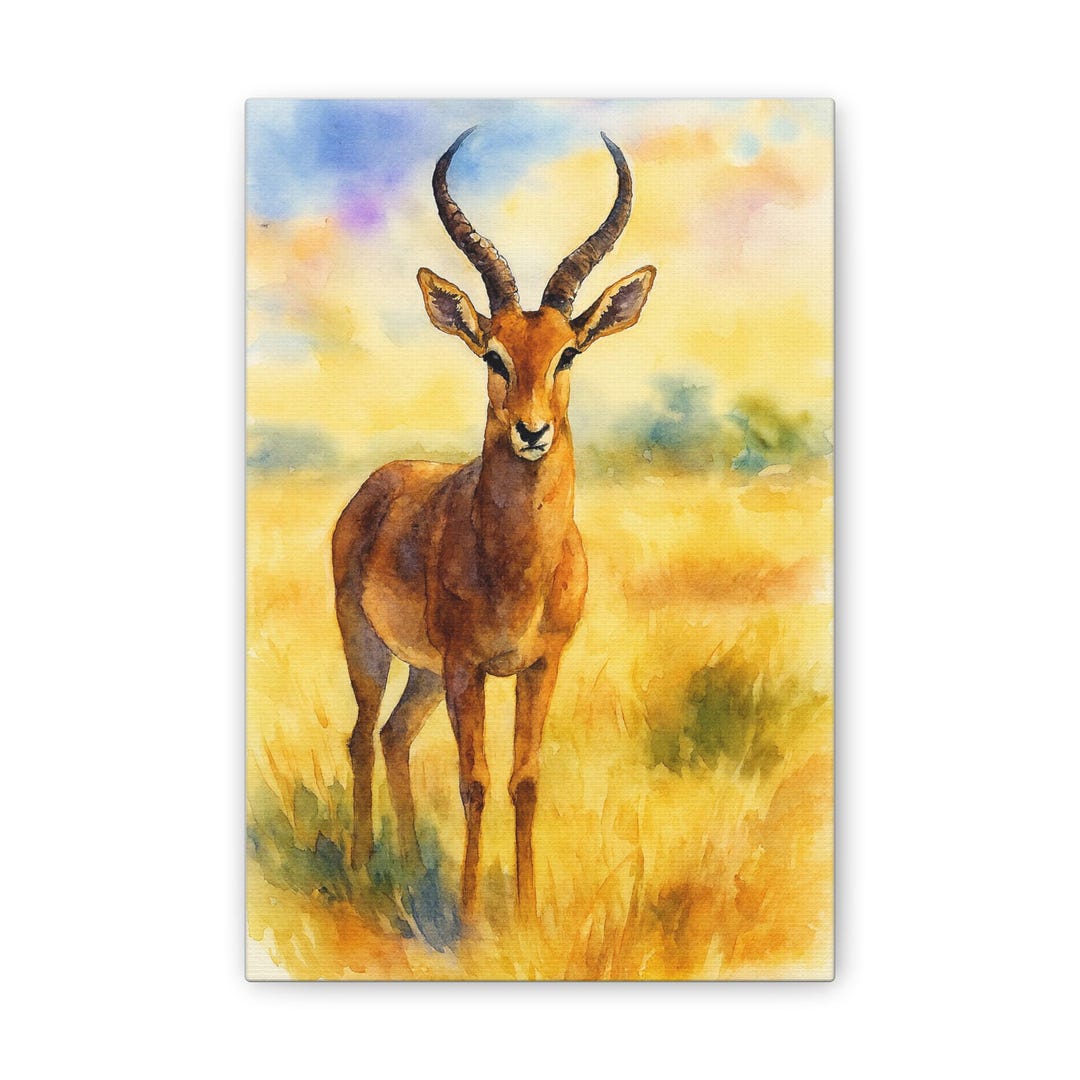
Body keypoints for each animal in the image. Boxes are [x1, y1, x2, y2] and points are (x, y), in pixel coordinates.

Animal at [332, 127, 655, 919]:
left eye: (567, 351)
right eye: (493, 353)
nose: (531, 431)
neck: (514, 565)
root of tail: (378, 483)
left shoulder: (540, 663)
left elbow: (524, 779)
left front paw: (528, 912)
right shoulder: (466, 666)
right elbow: (475, 779)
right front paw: (474, 915)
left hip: (419, 672)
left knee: (394, 737)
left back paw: (411, 865)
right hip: (370, 647)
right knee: (361, 737)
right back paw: (361, 868)